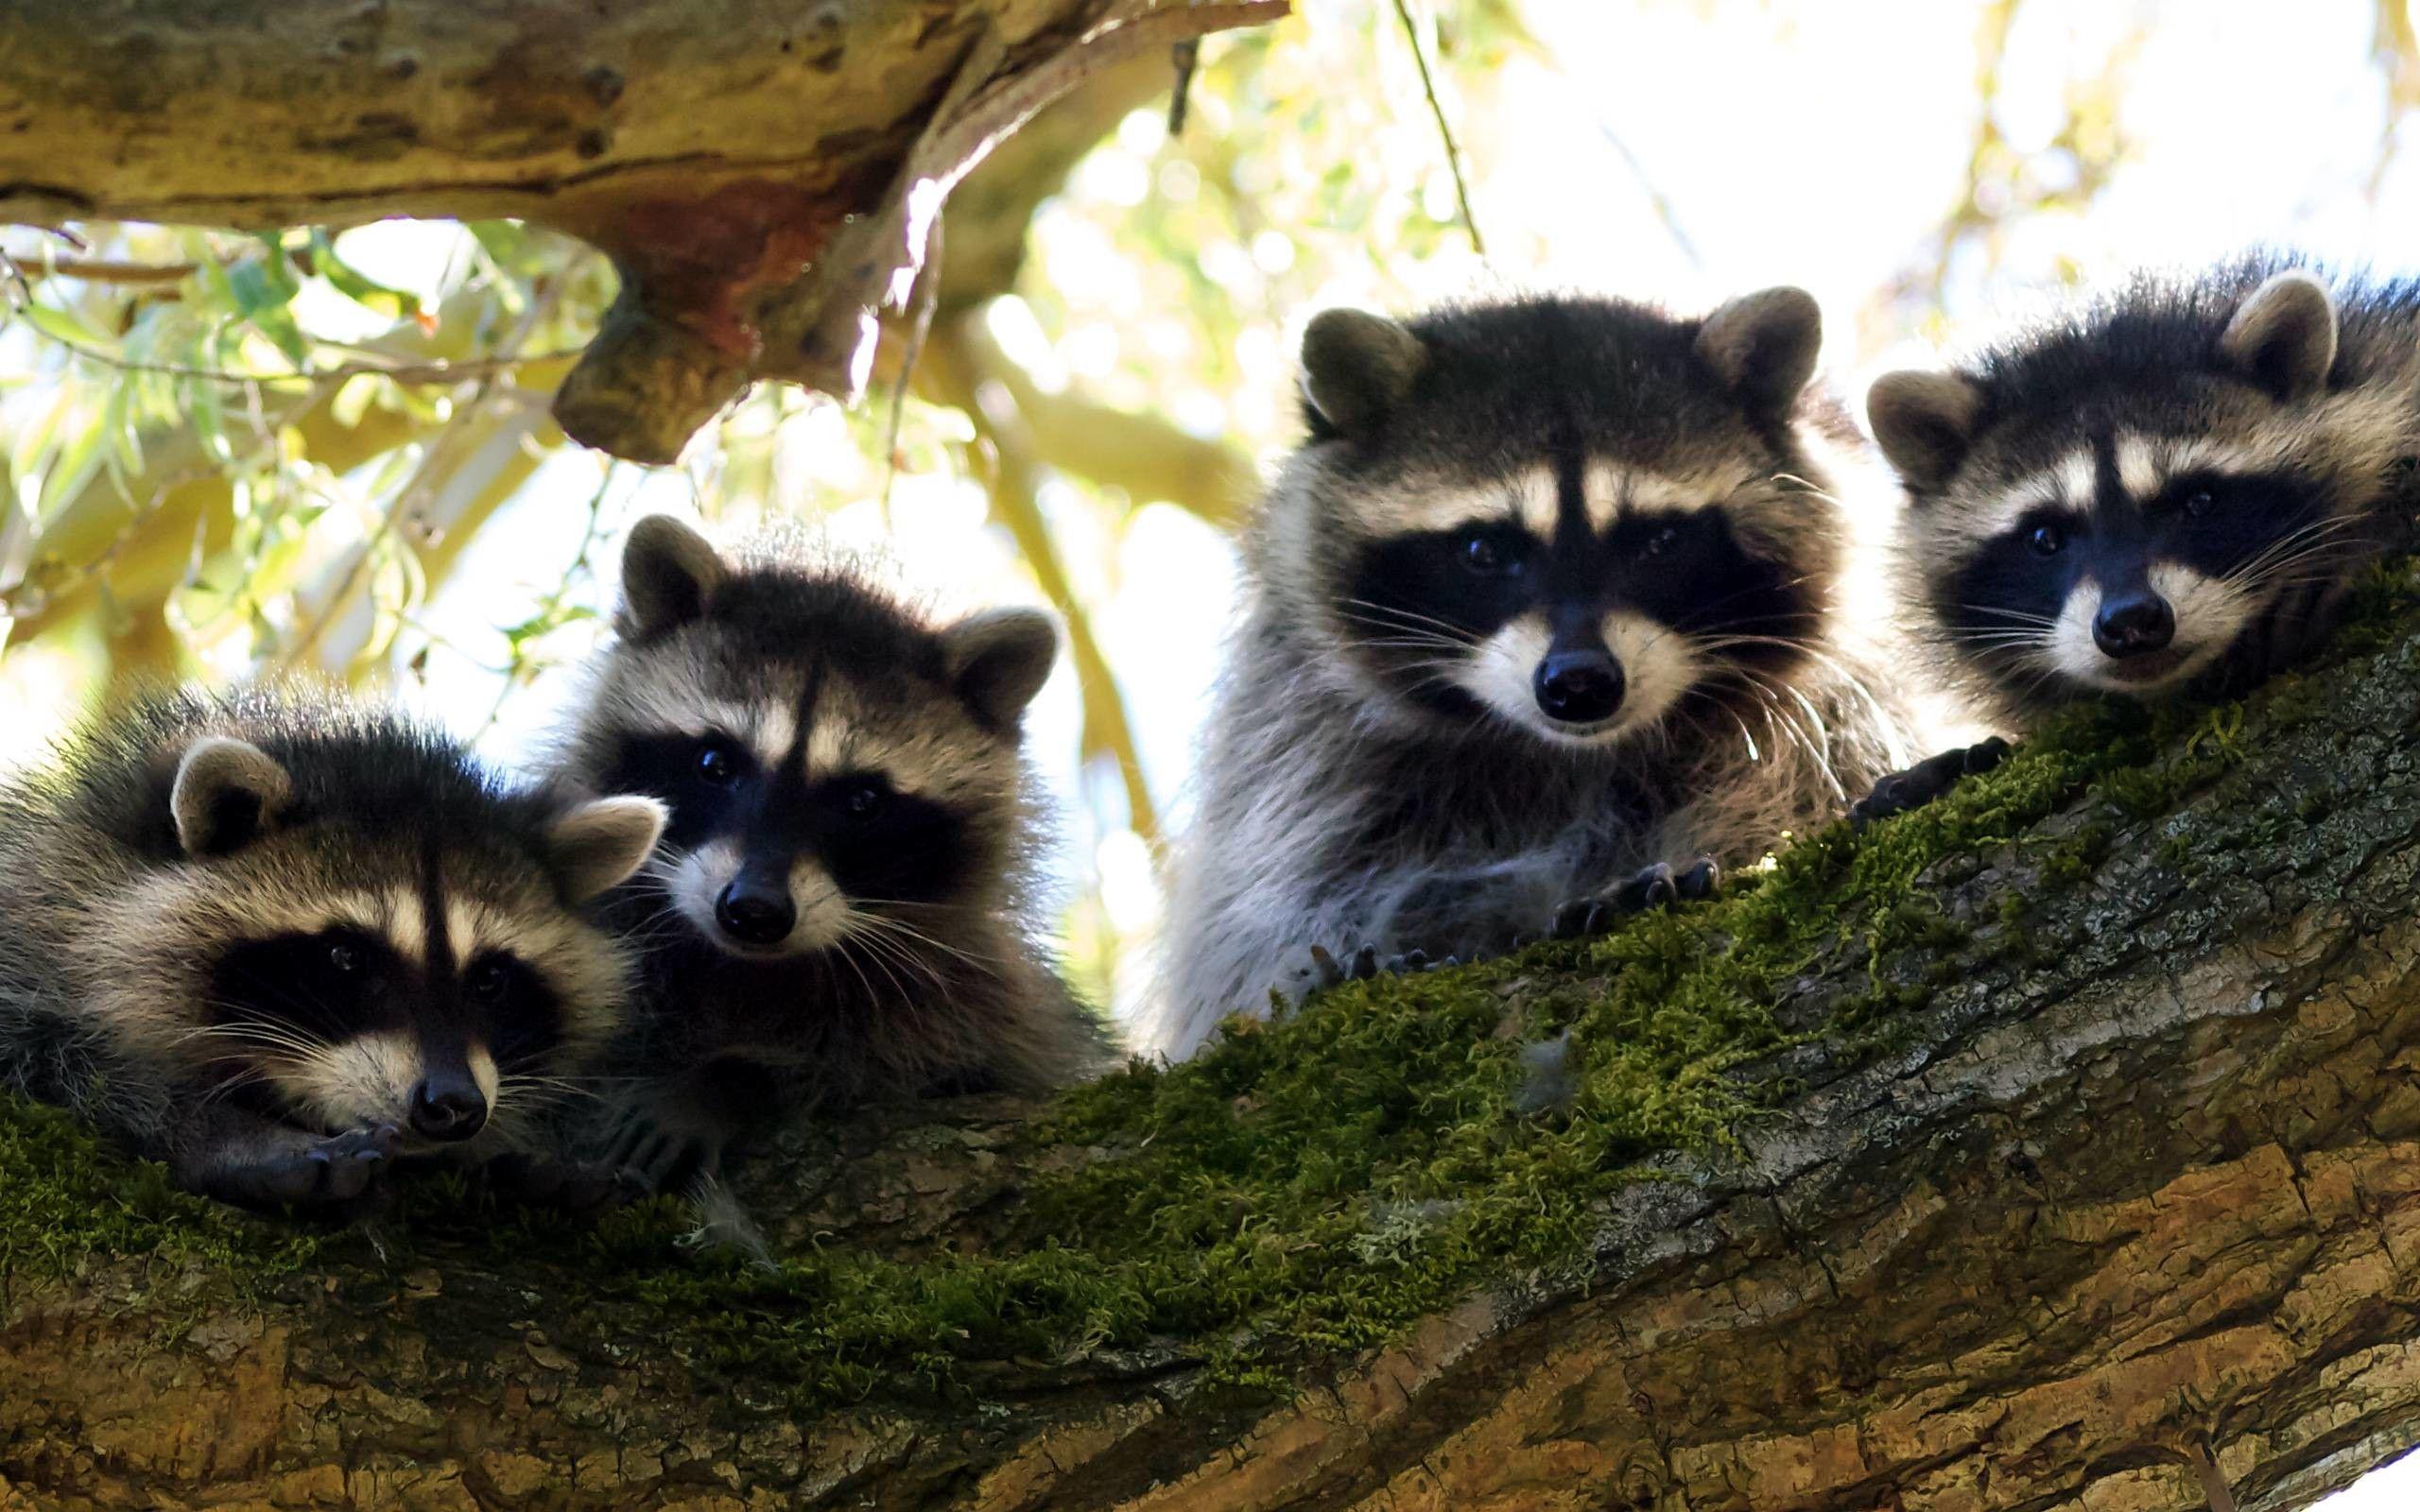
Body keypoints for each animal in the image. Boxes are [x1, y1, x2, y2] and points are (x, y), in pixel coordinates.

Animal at [0, 689, 666, 1210]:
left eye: (491, 978)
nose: (454, 1105)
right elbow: (61, 1061)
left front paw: (508, 1149)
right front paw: (221, 1132)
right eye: (347, 957)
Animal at [541, 515, 1105, 1193]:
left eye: (863, 802)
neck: (745, 970)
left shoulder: (982, 1000)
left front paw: (734, 1080)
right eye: (714, 763)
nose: (754, 911)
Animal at [1145, 290, 1921, 1061]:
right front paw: (1326, 962)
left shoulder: (1834, 705)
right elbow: (1265, 910)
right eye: (1484, 551)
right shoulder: (1297, 728)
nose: (1579, 683)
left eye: (1661, 541)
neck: (1579, 755)